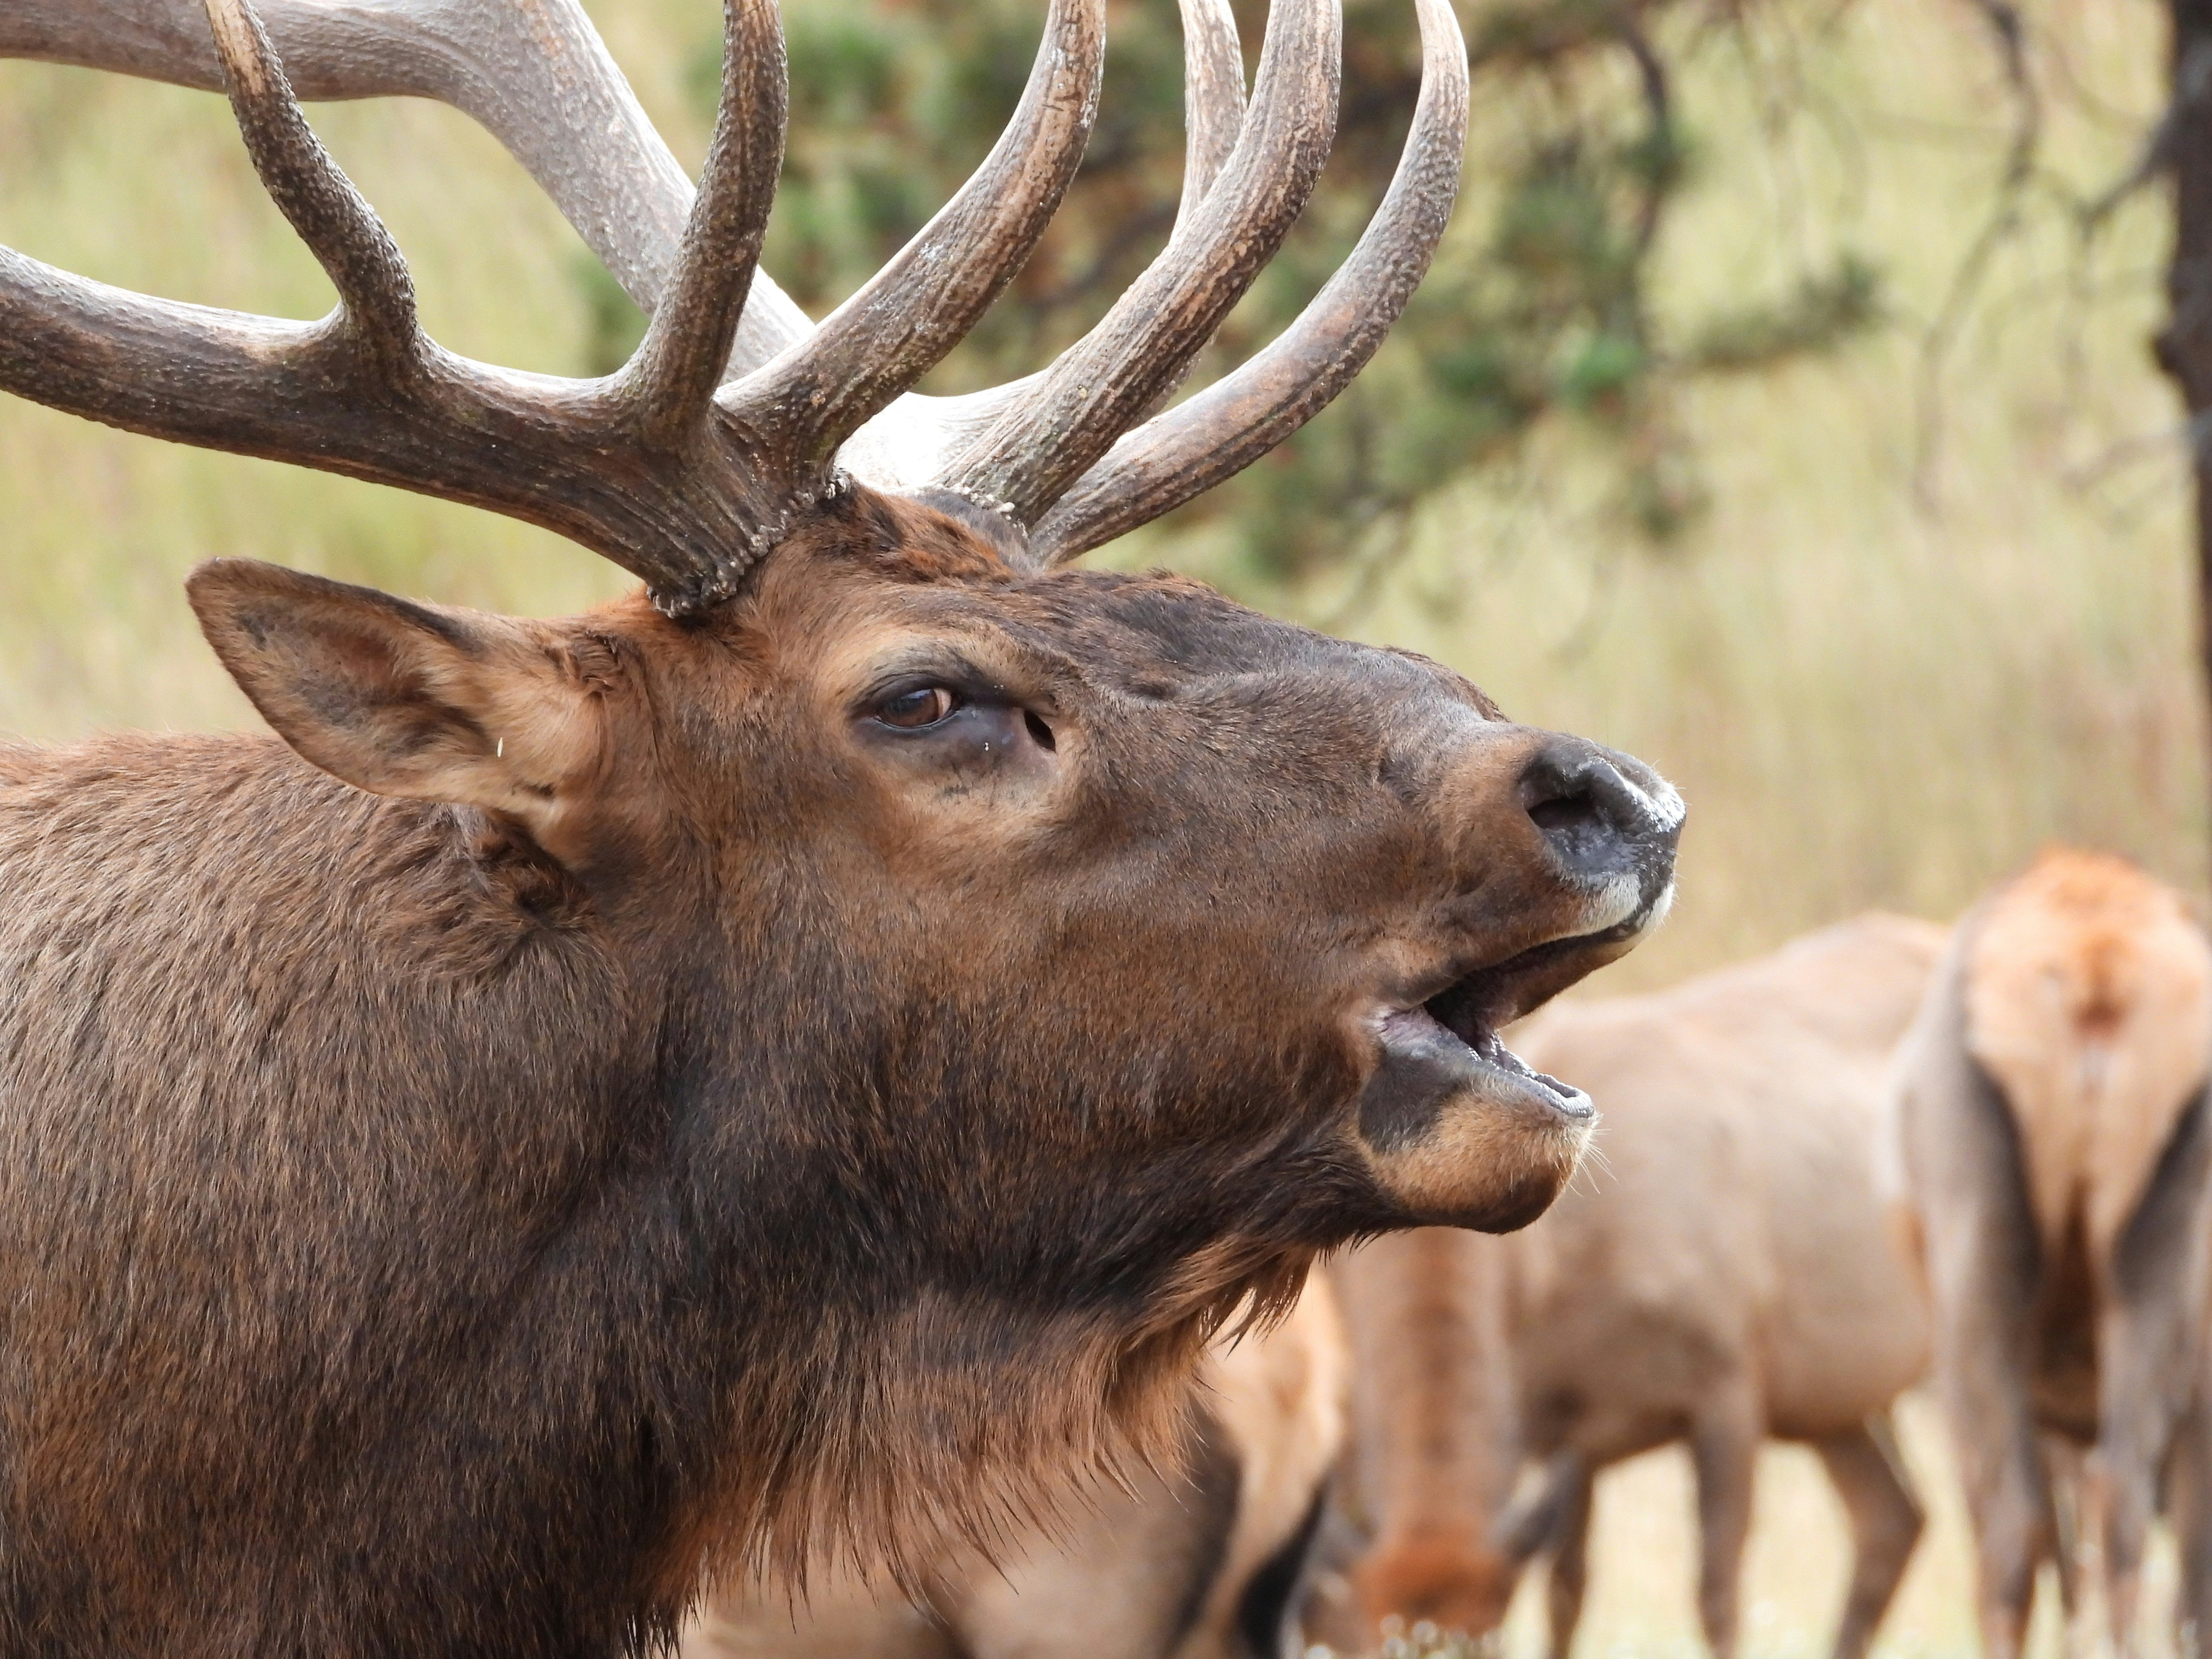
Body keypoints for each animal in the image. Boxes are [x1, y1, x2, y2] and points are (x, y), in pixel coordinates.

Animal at [1312, 915, 1942, 1659]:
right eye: (1357, 1642)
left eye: (1486, 1642)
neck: (1556, 1261)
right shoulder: (1563, 1430)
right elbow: (1566, 1594)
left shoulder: (1729, 1385)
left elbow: (1718, 1596)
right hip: (1837, 1403)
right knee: (1894, 1518)